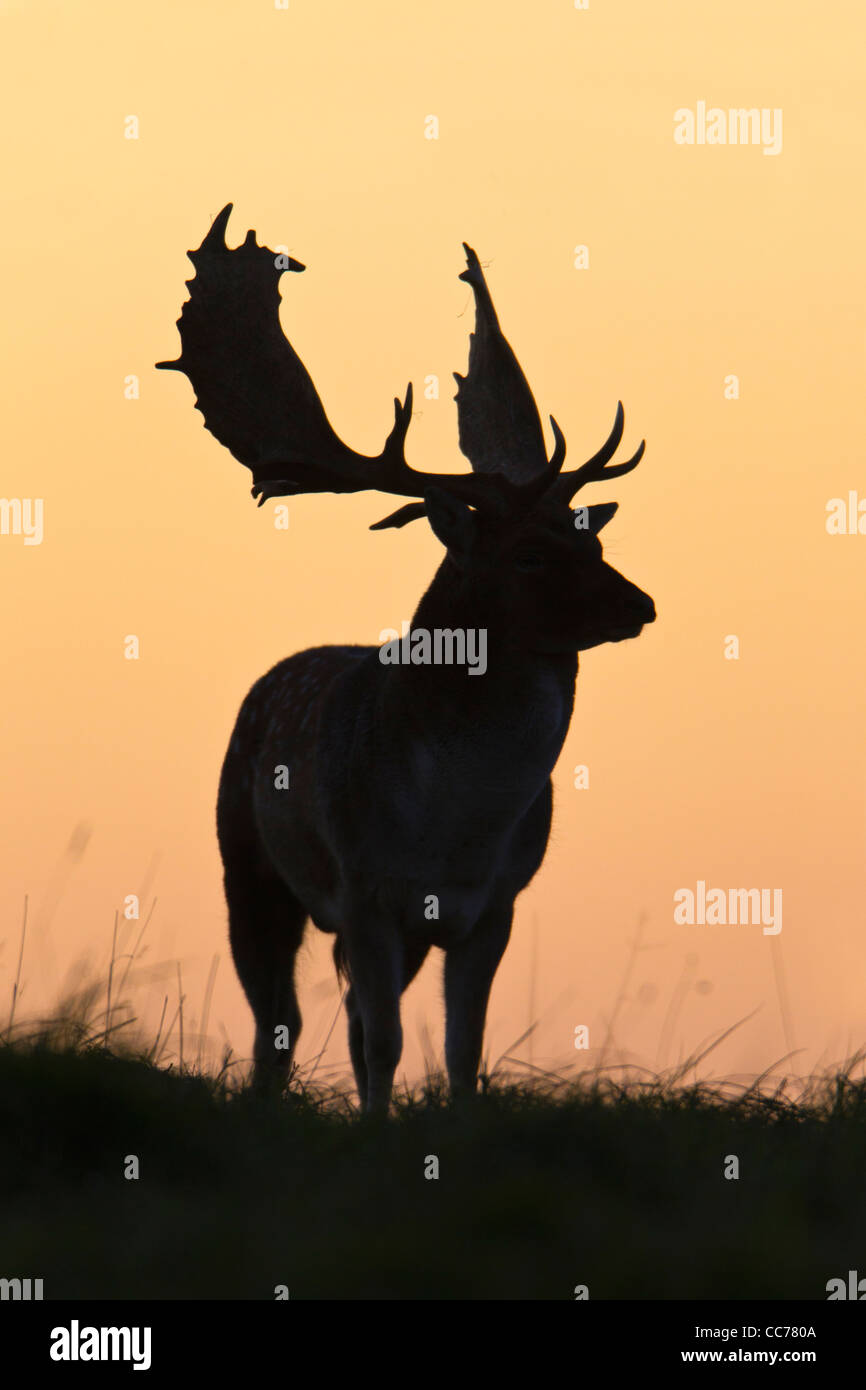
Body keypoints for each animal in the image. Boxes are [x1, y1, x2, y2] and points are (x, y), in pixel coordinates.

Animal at [157, 204, 655, 1113]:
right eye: (528, 555)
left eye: (592, 539)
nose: (640, 605)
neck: (456, 824)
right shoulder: (365, 891)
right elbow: (382, 1039)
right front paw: (378, 1134)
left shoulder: (494, 904)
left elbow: (462, 1045)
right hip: (246, 862)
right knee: (282, 1021)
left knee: (341, 1018)